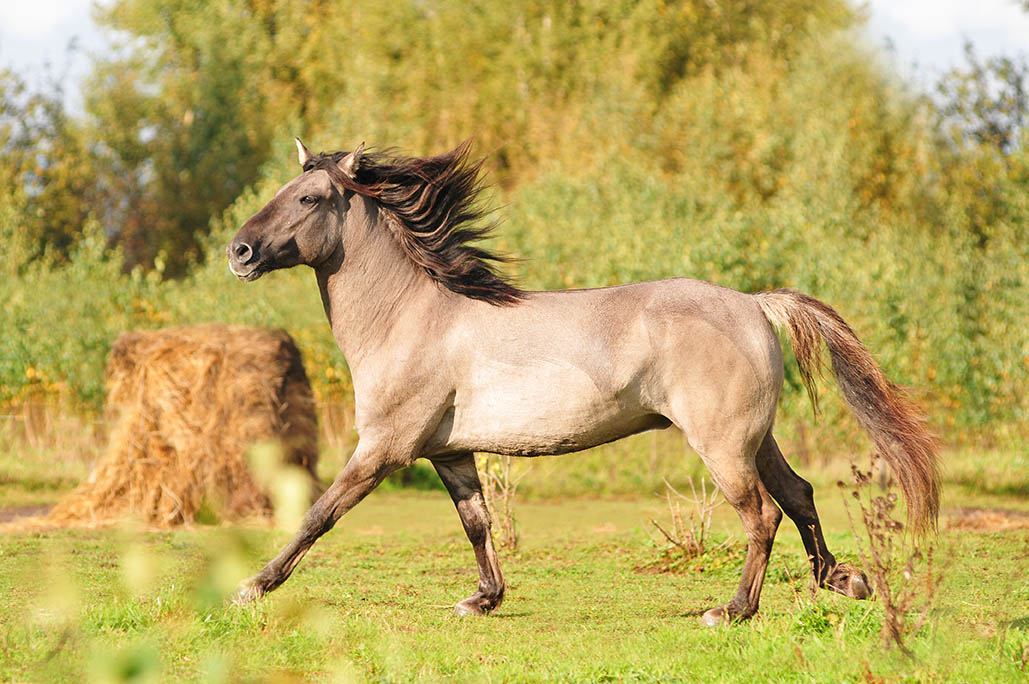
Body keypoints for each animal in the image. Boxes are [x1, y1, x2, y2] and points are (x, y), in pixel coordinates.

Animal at [227, 138, 939, 625]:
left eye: (308, 199)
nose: (239, 252)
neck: (411, 317)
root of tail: (754, 304)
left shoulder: (383, 448)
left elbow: (317, 514)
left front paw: (253, 586)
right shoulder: (448, 452)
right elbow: (477, 522)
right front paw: (483, 600)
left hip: (722, 444)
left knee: (761, 514)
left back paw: (731, 610)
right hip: (756, 438)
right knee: (799, 495)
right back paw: (841, 580)